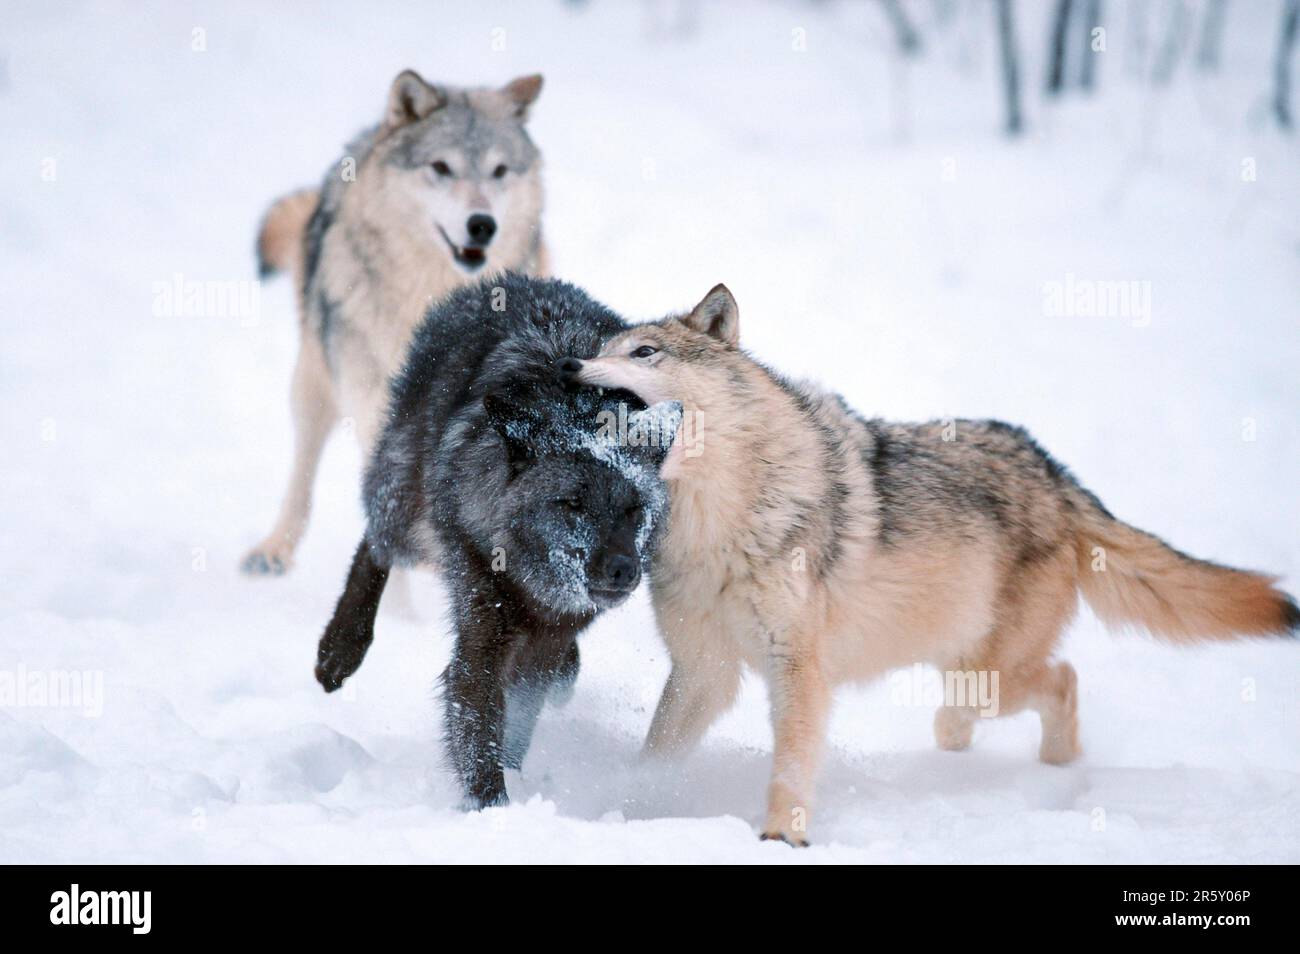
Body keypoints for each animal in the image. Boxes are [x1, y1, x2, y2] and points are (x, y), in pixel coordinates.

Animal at [244, 69, 549, 574]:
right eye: (441, 167)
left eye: (499, 171)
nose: (482, 224)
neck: (428, 300)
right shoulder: (379, 423)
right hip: (313, 384)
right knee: (302, 471)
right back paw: (272, 550)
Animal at [313, 275, 680, 808]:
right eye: (572, 503)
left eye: (634, 508)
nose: (622, 569)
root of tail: (509, 279)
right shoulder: (480, 628)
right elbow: (479, 724)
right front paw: (491, 809)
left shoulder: (545, 645)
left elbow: (518, 722)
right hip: (409, 513)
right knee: (375, 542)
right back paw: (339, 649)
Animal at [566, 284, 1298, 846]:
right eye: (601, 350)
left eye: (643, 352)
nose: (571, 368)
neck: (718, 525)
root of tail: (1055, 473)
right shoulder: (704, 670)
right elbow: (657, 753)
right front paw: (629, 809)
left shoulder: (799, 669)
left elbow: (791, 765)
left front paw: (781, 837)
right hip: (964, 665)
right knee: (989, 704)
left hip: (985, 675)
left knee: (1062, 679)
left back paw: (1057, 769)